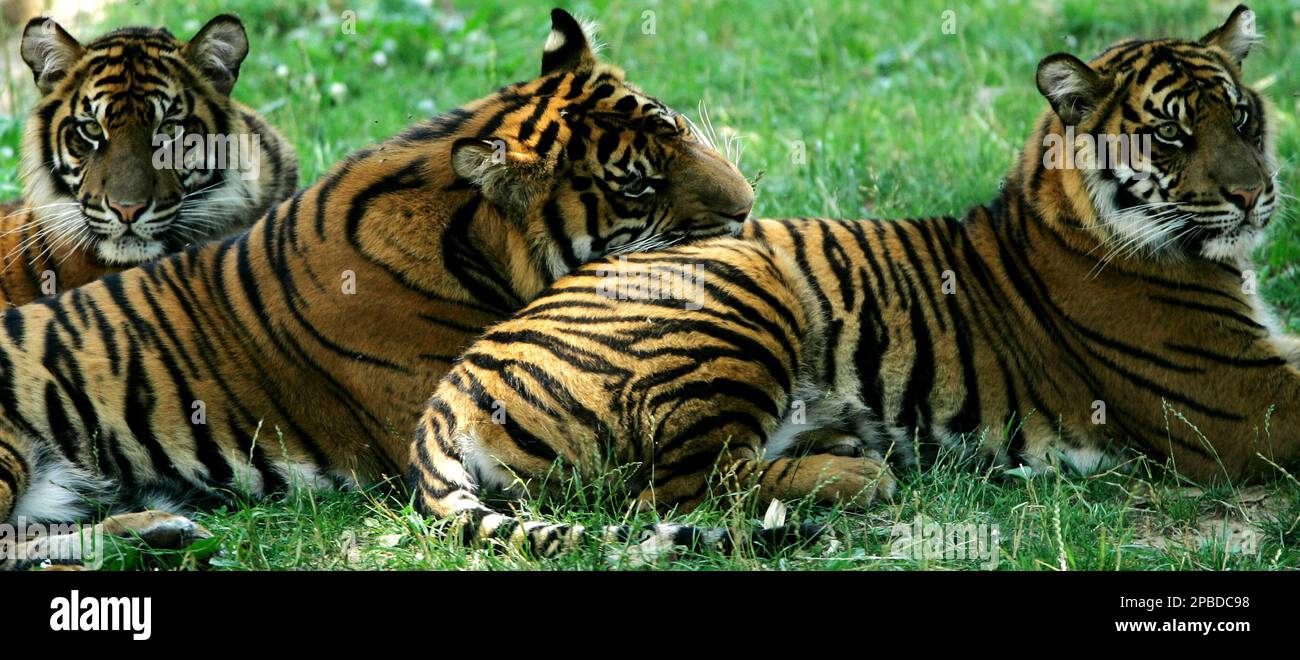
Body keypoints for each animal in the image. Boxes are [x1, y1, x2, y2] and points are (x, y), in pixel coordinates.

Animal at [408, 5, 1296, 557]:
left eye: (1240, 115)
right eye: (1171, 135)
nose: (1255, 194)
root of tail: (452, 387)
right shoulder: (1243, 401)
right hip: (738, 293)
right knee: (679, 493)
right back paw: (858, 473)